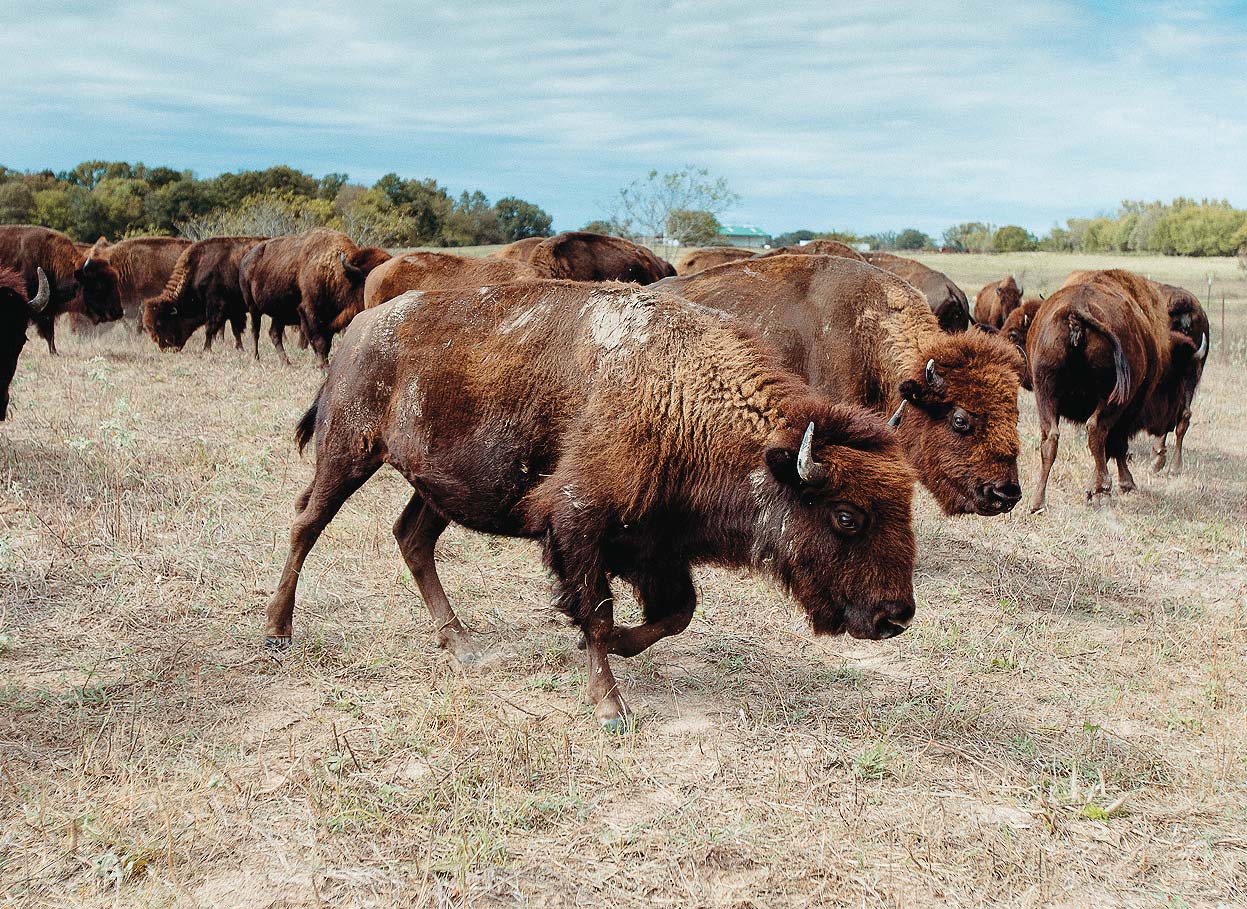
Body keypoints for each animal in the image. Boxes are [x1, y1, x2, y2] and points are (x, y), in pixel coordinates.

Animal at [239, 229, 390, 366]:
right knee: (255, 331)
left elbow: (326, 344)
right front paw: (323, 367)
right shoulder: (310, 313)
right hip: (254, 308)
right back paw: (256, 358)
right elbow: (319, 341)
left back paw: (286, 363)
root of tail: (245, 259)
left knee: (274, 334)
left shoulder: (329, 322)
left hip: (280, 313)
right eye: (367, 279)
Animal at [267, 281, 917, 729]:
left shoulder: (654, 545)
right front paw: (609, 705)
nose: (896, 616)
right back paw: (277, 630)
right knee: (305, 524)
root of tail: (360, 328)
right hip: (348, 452)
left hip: (441, 485)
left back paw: (463, 645)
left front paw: (607, 651)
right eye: (846, 516)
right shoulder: (578, 521)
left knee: (412, 537)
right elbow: (599, 610)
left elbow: (675, 614)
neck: (683, 396)